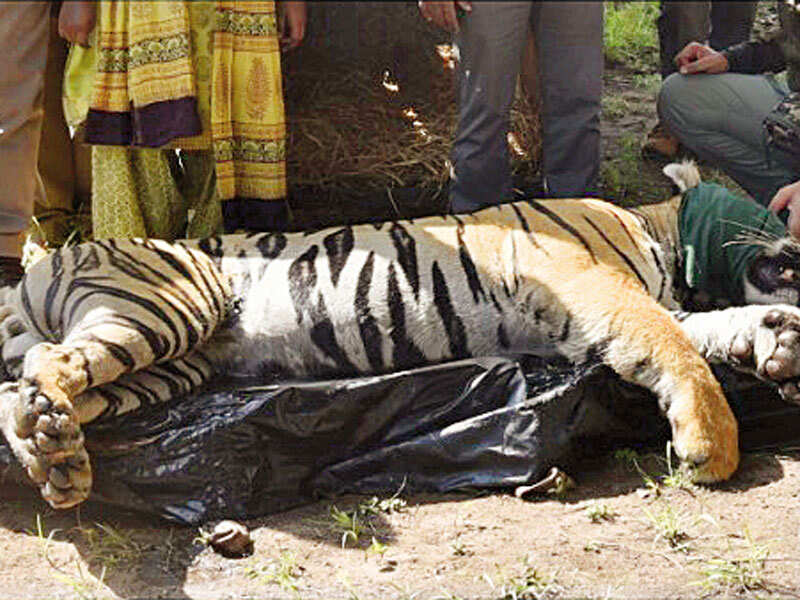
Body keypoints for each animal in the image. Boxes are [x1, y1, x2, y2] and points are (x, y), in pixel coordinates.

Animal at [2, 161, 800, 510]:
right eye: (775, 208)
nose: (793, 238)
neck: (663, 235)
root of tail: (48, 262)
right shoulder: (595, 286)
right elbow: (675, 345)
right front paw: (712, 444)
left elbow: (708, 330)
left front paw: (777, 342)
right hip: (169, 302)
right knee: (45, 361)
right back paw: (56, 448)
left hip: (170, 366)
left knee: (24, 392)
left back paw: (58, 459)